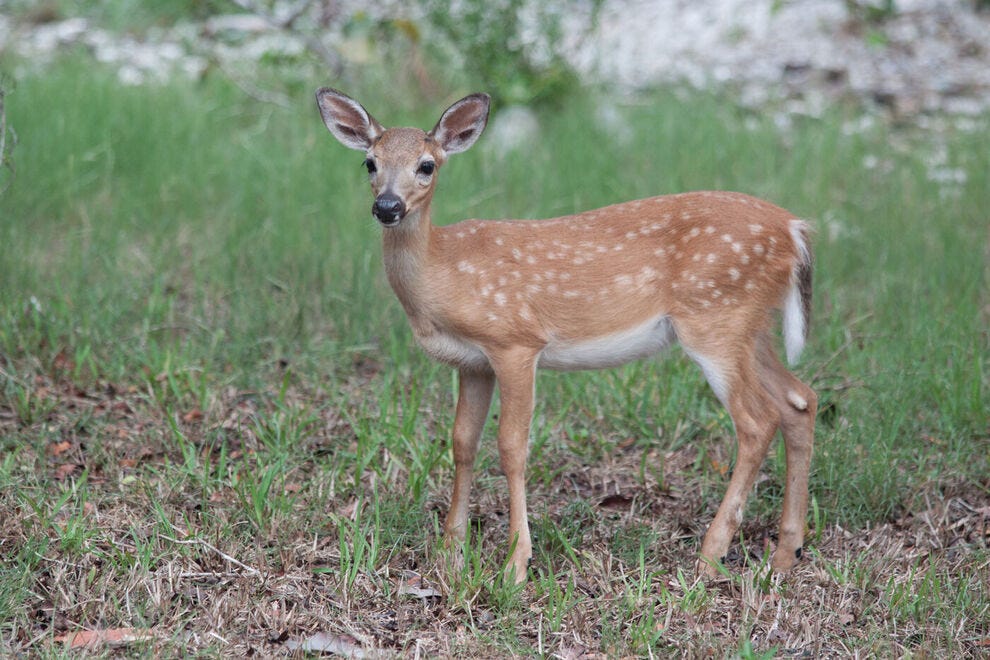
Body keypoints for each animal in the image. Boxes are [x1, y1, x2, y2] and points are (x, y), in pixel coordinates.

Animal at [315, 88, 817, 584]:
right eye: (370, 162)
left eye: (427, 165)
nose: (388, 207)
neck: (443, 272)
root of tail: (795, 229)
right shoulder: (473, 363)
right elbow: (462, 443)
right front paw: (450, 554)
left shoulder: (516, 340)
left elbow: (512, 447)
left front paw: (515, 564)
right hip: (749, 326)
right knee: (799, 400)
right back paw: (785, 553)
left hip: (715, 319)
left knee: (757, 420)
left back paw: (710, 555)